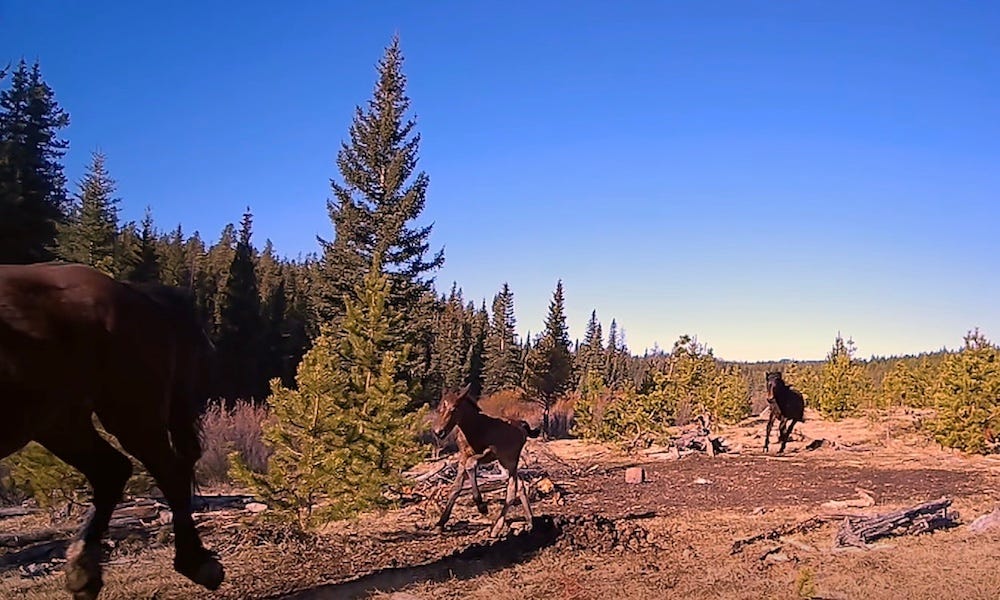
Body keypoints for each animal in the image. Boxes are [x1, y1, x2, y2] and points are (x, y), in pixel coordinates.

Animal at [0, 262, 224, 600]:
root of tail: (135, 293)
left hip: (127, 412)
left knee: (165, 470)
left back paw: (196, 564)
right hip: (60, 422)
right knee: (113, 469)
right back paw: (83, 573)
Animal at [431, 384, 540, 538]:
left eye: (454, 409)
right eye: (439, 408)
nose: (438, 432)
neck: (473, 430)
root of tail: (523, 427)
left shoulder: (489, 453)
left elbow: (471, 465)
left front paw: (481, 506)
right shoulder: (463, 456)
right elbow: (455, 488)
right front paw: (440, 523)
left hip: (509, 459)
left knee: (512, 489)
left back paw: (496, 527)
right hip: (506, 463)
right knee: (521, 486)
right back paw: (530, 521)